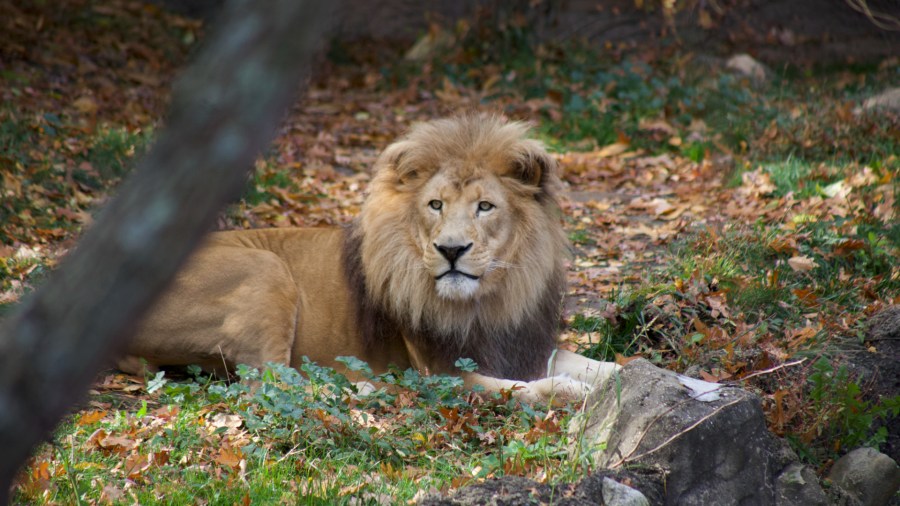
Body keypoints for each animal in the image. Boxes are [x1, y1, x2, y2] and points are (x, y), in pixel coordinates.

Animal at [118, 115, 619, 403]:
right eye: (435, 205)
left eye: (485, 207)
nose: (451, 250)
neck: (491, 298)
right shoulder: (442, 372)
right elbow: (517, 390)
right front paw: (567, 391)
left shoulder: (522, 344)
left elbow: (598, 365)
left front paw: (624, 376)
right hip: (266, 270)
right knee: (270, 383)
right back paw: (359, 386)